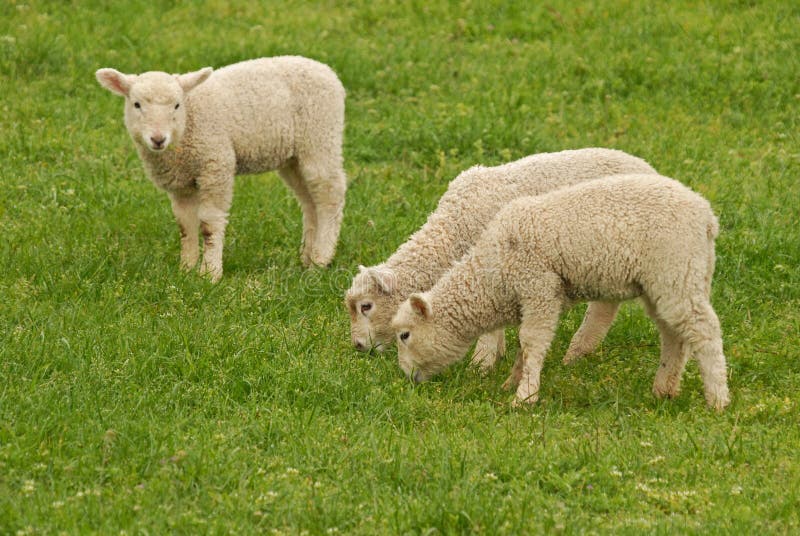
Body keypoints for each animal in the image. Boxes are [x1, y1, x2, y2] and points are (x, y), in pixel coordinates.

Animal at [96, 56, 347, 281]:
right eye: (137, 104)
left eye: (177, 105)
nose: (158, 139)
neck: (189, 123)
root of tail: (327, 71)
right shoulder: (180, 184)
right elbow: (185, 226)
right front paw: (186, 269)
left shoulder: (216, 166)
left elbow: (209, 225)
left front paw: (210, 273)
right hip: (293, 158)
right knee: (310, 202)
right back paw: (307, 257)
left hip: (320, 137)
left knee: (329, 195)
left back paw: (321, 258)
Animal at [345, 148, 658, 369]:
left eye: (366, 306)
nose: (358, 346)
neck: (453, 230)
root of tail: (651, 169)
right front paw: (497, 354)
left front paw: (481, 363)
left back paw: (575, 353)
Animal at [391, 173, 730, 411]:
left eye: (405, 335)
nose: (407, 378)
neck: (493, 274)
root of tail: (707, 217)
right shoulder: (533, 297)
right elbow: (524, 345)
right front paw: (512, 382)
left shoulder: (538, 286)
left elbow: (532, 341)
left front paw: (524, 397)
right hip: (667, 280)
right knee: (673, 333)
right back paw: (664, 390)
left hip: (676, 269)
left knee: (704, 329)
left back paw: (717, 400)